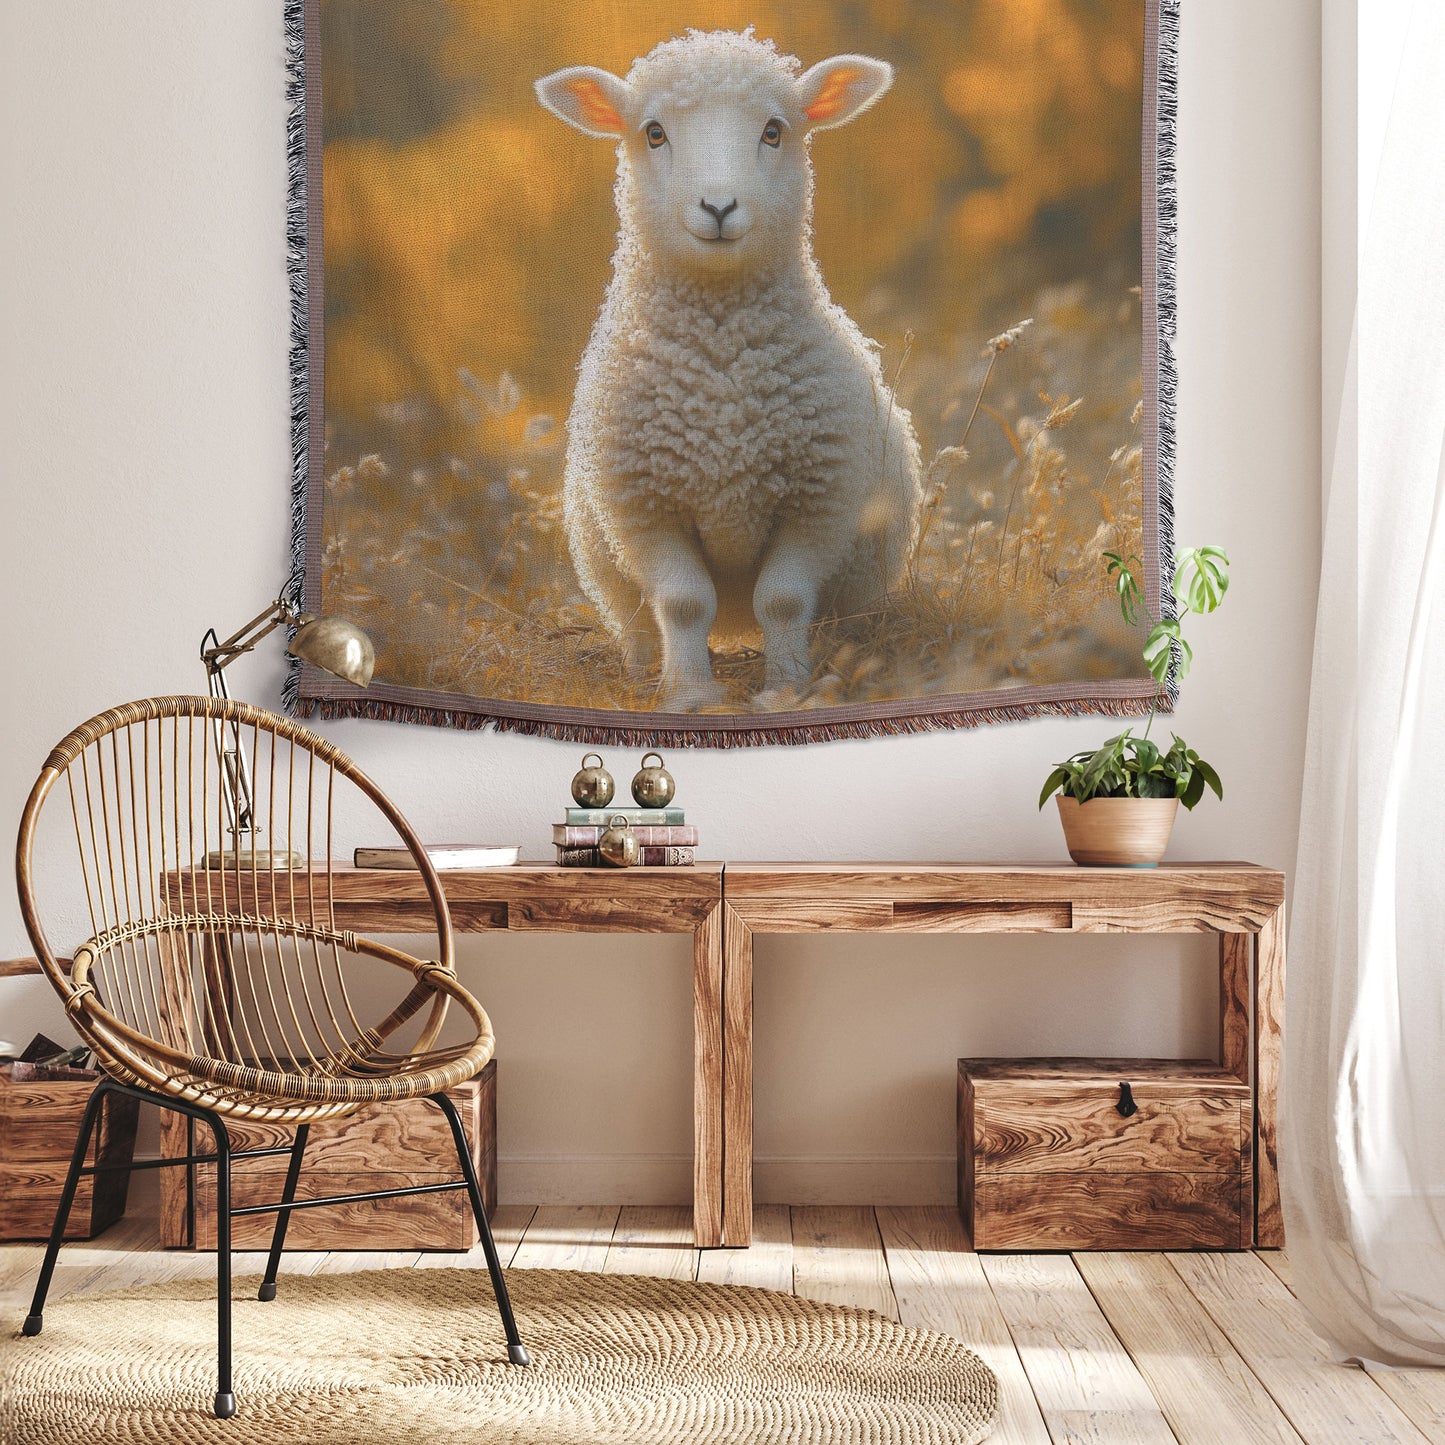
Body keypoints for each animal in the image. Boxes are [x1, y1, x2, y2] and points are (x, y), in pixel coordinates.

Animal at [536, 29, 922, 711]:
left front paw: (785, 691)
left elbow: (784, 600)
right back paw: (645, 672)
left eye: (773, 130)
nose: (718, 206)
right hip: (609, 577)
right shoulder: (643, 507)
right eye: (653, 132)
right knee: (645, 625)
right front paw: (689, 695)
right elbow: (684, 604)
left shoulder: (819, 500)